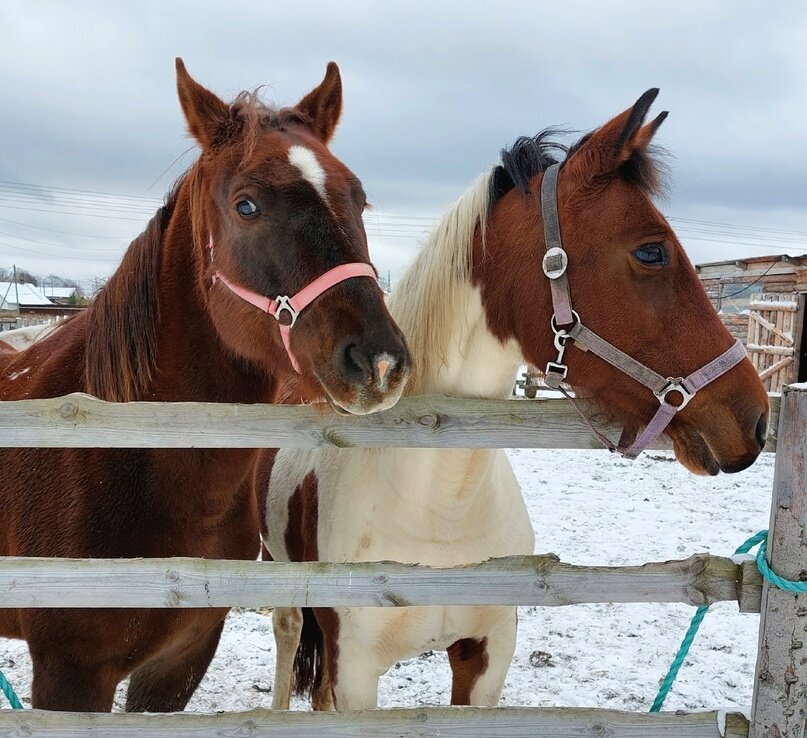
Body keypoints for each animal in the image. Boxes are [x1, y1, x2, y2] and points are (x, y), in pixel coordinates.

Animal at [258, 89, 772, 712]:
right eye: (652, 252)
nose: (757, 419)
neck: (439, 507)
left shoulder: (486, 656)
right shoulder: (355, 671)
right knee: (288, 640)